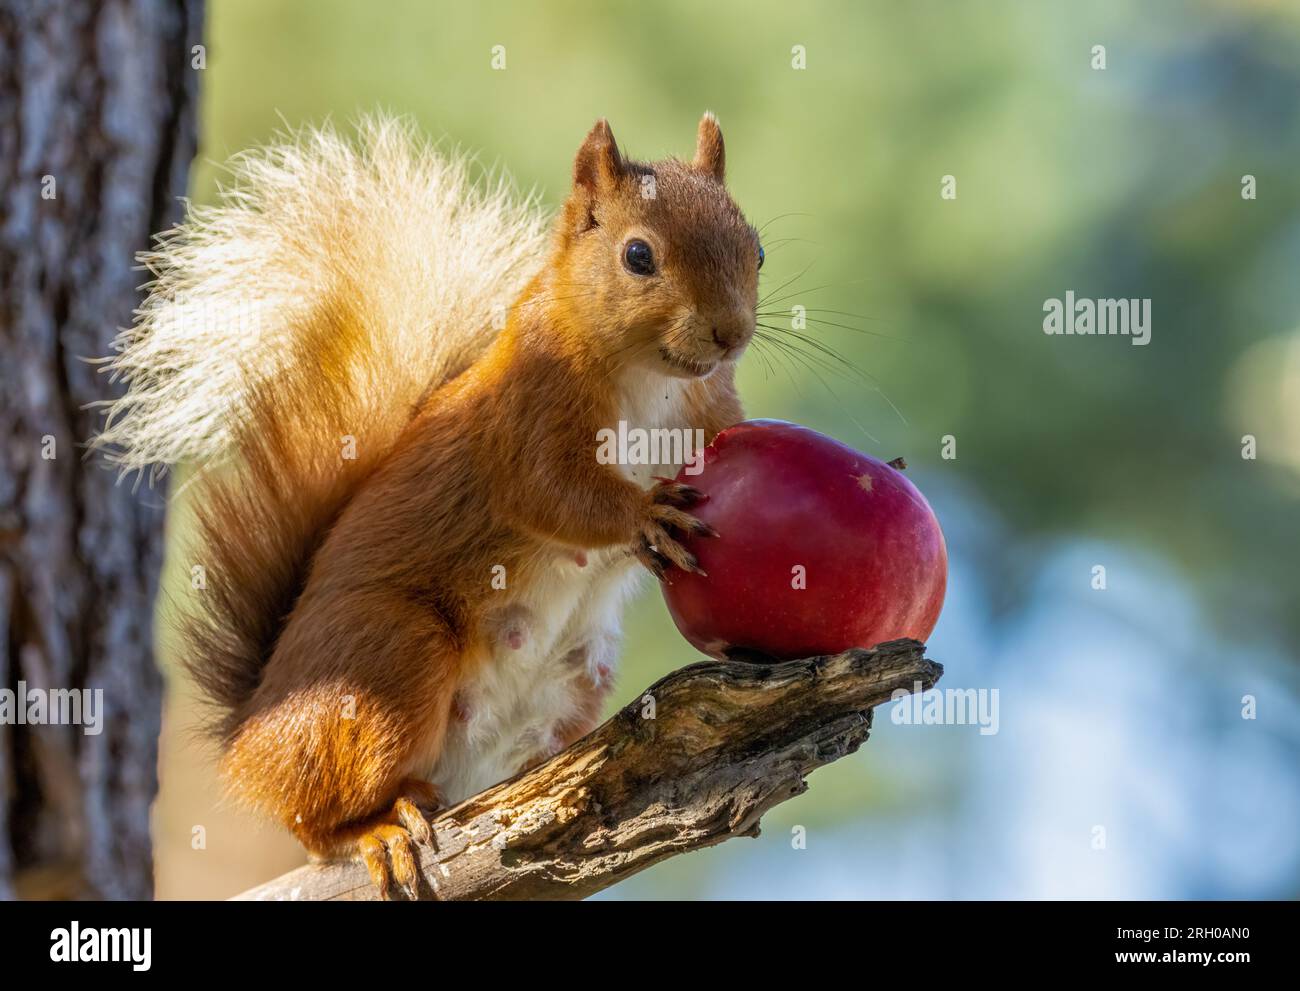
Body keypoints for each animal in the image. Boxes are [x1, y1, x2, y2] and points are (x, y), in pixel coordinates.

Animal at [95, 112, 760, 898]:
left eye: (755, 247)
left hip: (572, 684)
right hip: (387, 661)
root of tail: (250, 732)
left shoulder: (708, 413)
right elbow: (551, 490)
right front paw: (643, 516)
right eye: (638, 255)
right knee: (314, 825)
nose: (731, 332)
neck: (653, 379)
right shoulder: (527, 412)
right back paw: (374, 830)